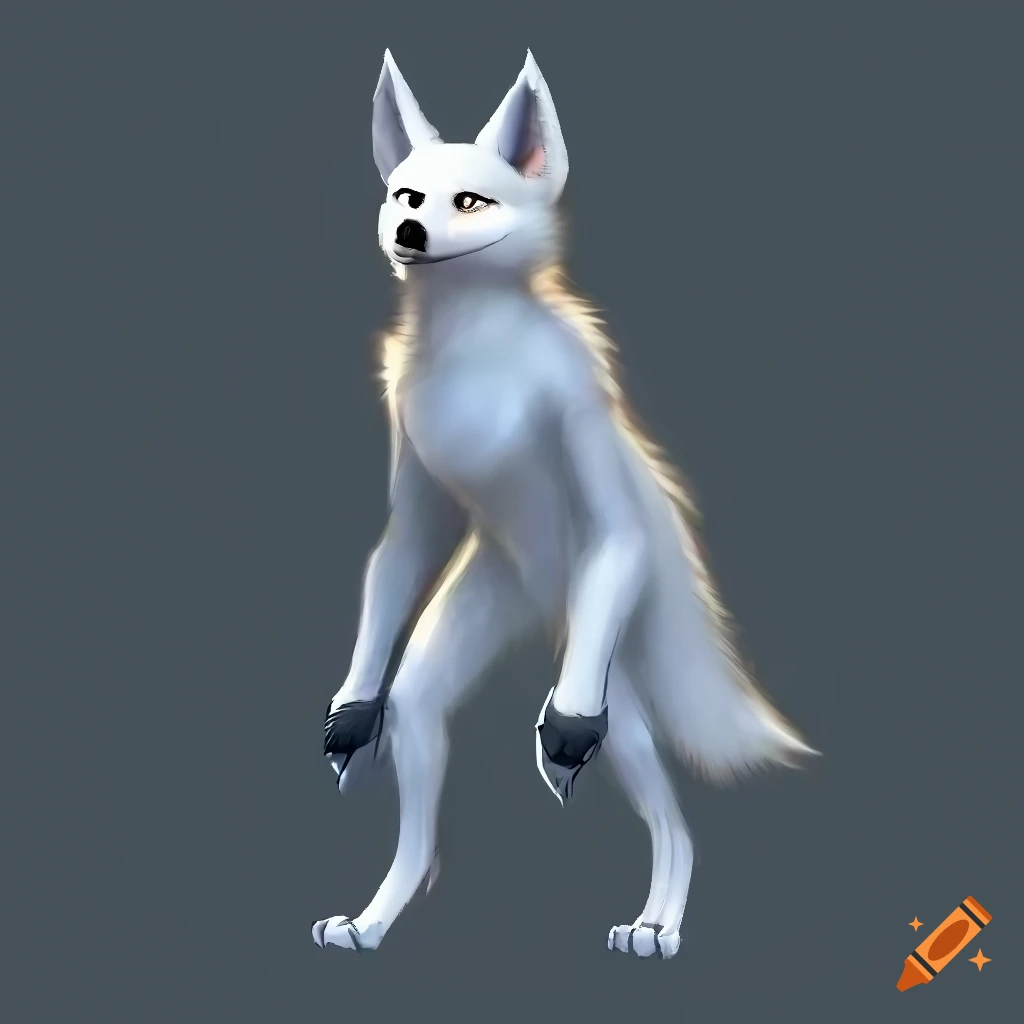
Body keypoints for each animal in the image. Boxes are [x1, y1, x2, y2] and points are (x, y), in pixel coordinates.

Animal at [311, 49, 818, 960]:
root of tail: (550, 604)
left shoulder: (578, 411)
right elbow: (399, 558)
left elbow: (604, 556)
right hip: (496, 596)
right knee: (418, 710)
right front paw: (350, 712)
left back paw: (658, 924)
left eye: (469, 202)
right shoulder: (415, 484)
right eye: (408, 196)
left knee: (645, 785)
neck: (474, 353)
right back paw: (373, 920)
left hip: (600, 643)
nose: (410, 234)